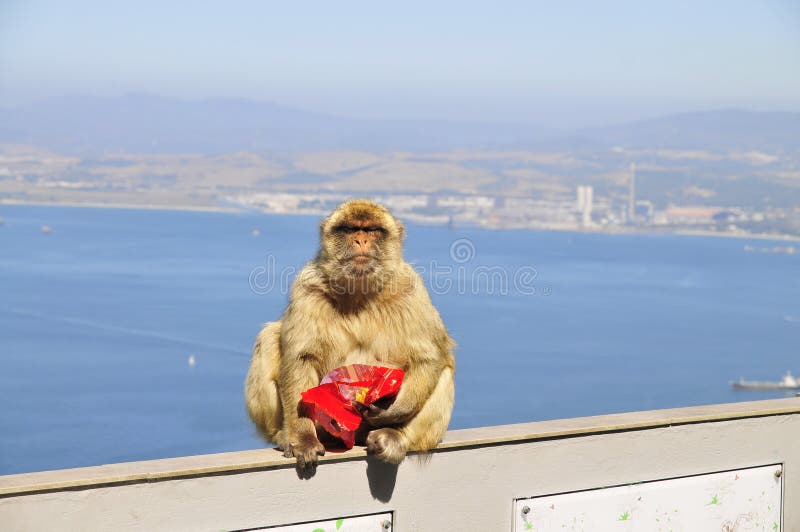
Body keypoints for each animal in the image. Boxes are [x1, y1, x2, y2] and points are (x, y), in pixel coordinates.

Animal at [245, 199, 455, 469]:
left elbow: (430, 356)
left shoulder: (412, 290)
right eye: (348, 229)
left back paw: (395, 436)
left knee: (445, 371)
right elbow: (300, 359)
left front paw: (395, 410)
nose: (360, 240)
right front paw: (303, 438)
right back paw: (284, 435)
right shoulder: (306, 287)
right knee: (269, 338)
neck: (359, 292)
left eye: (373, 230)